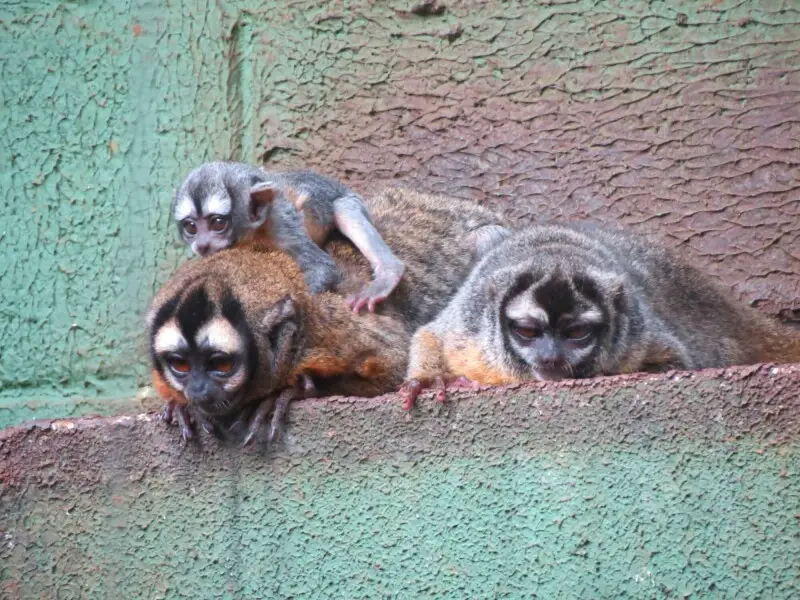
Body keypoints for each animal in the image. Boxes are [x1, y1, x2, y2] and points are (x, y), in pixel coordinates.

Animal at [149, 186, 511, 443]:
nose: (198, 390)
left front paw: (287, 392)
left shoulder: (335, 329)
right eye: (181, 365)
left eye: (220, 365)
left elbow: (394, 367)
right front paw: (183, 407)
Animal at [173, 161, 406, 312]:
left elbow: (322, 267)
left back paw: (389, 272)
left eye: (218, 223)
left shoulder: (279, 222)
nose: (202, 245)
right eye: (191, 227)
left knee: (344, 209)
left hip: (352, 200)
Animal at [401, 222, 800, 409]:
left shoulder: (635, 337)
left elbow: (675, 363)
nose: (550, 357)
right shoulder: (471, 334)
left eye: (577, 333)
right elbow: (432, 333)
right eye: (528, 331)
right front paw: (430, 380)